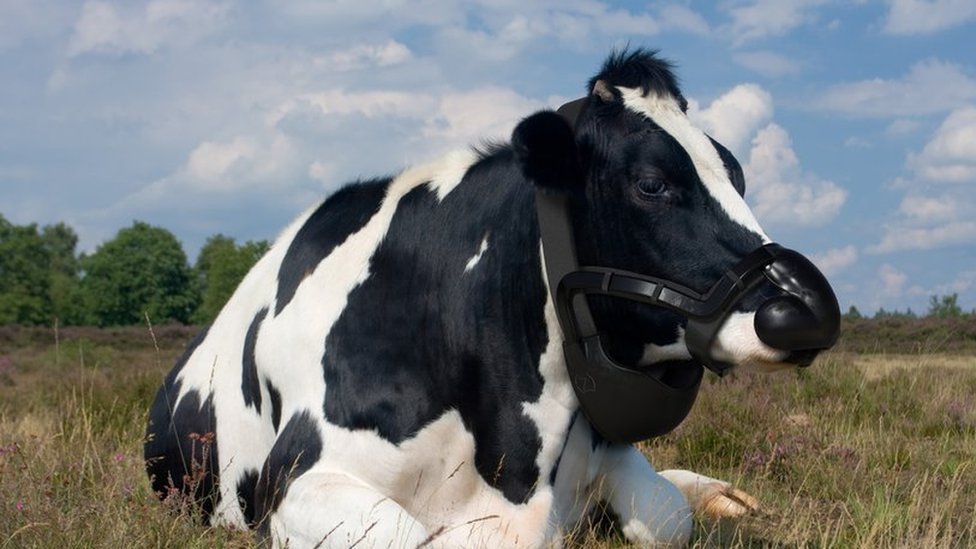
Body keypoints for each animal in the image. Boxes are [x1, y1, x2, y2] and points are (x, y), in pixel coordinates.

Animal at [145, 49, 840, 548]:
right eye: (651, 183)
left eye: (737, 174)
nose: (808, 310)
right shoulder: (296, 478)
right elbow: (405, 535)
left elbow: (666, 515)